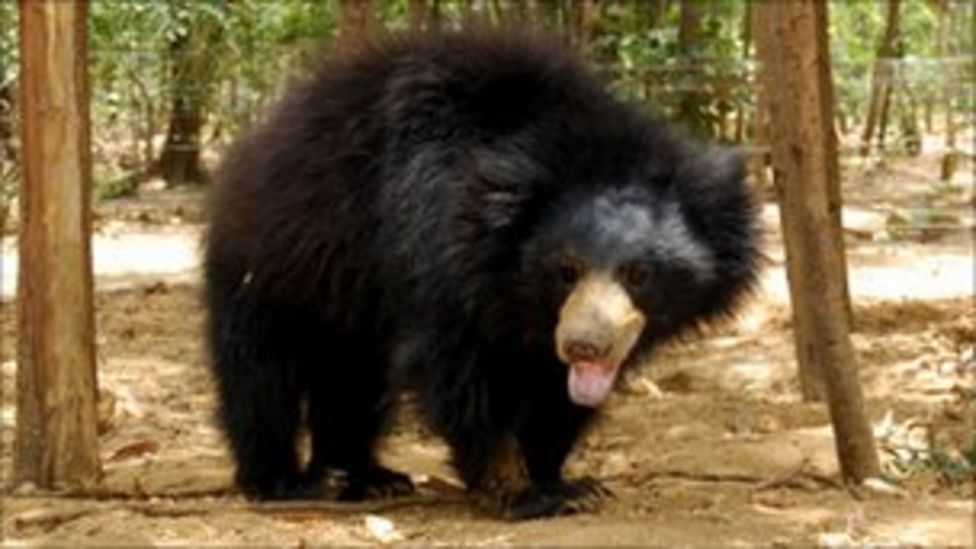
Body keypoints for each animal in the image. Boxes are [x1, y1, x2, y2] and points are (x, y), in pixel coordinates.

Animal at [203, 29, 759, 519]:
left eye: (639, 273)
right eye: (566, 270)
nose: (584, 346)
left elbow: (554, 390)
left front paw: (566, 482)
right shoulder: (432, 250)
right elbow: (457, 372)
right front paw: (523, 494)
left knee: (354, 378)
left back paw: (369, 476)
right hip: (273, 267)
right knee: (261, 373)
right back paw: (283, 482)